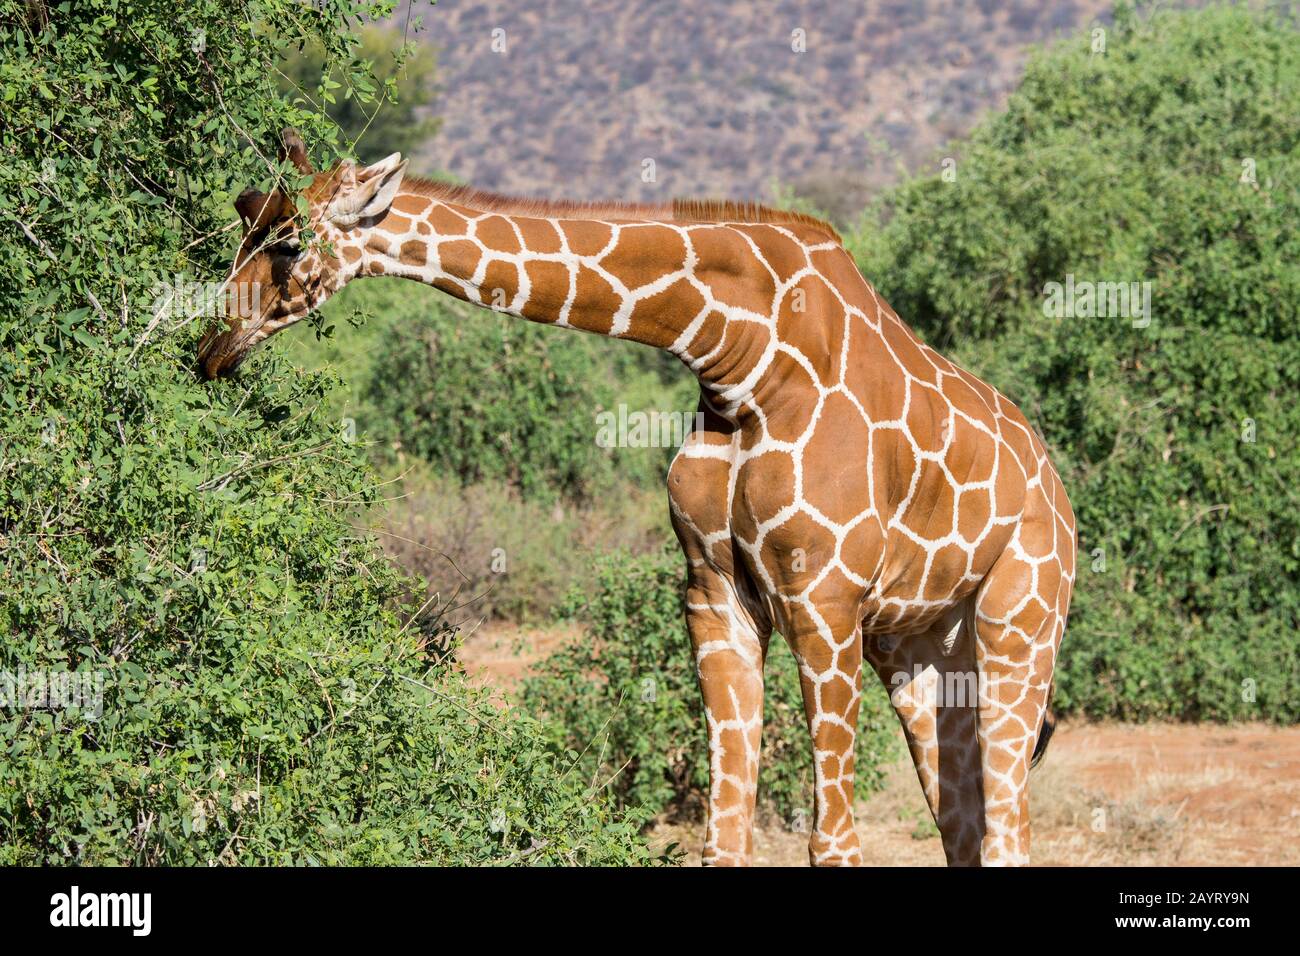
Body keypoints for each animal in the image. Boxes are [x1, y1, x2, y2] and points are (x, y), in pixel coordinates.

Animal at [199, 131, 1076, 867]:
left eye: (287, 243)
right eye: (247, 225)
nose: (208, 347)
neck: (742, 359)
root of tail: (1061, 497)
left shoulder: (824, 601)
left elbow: (834, 843)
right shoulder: (716, 595)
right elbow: (724, 837)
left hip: (1018, 625)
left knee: (1010, 829)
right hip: (920, 648)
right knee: (968, 830)